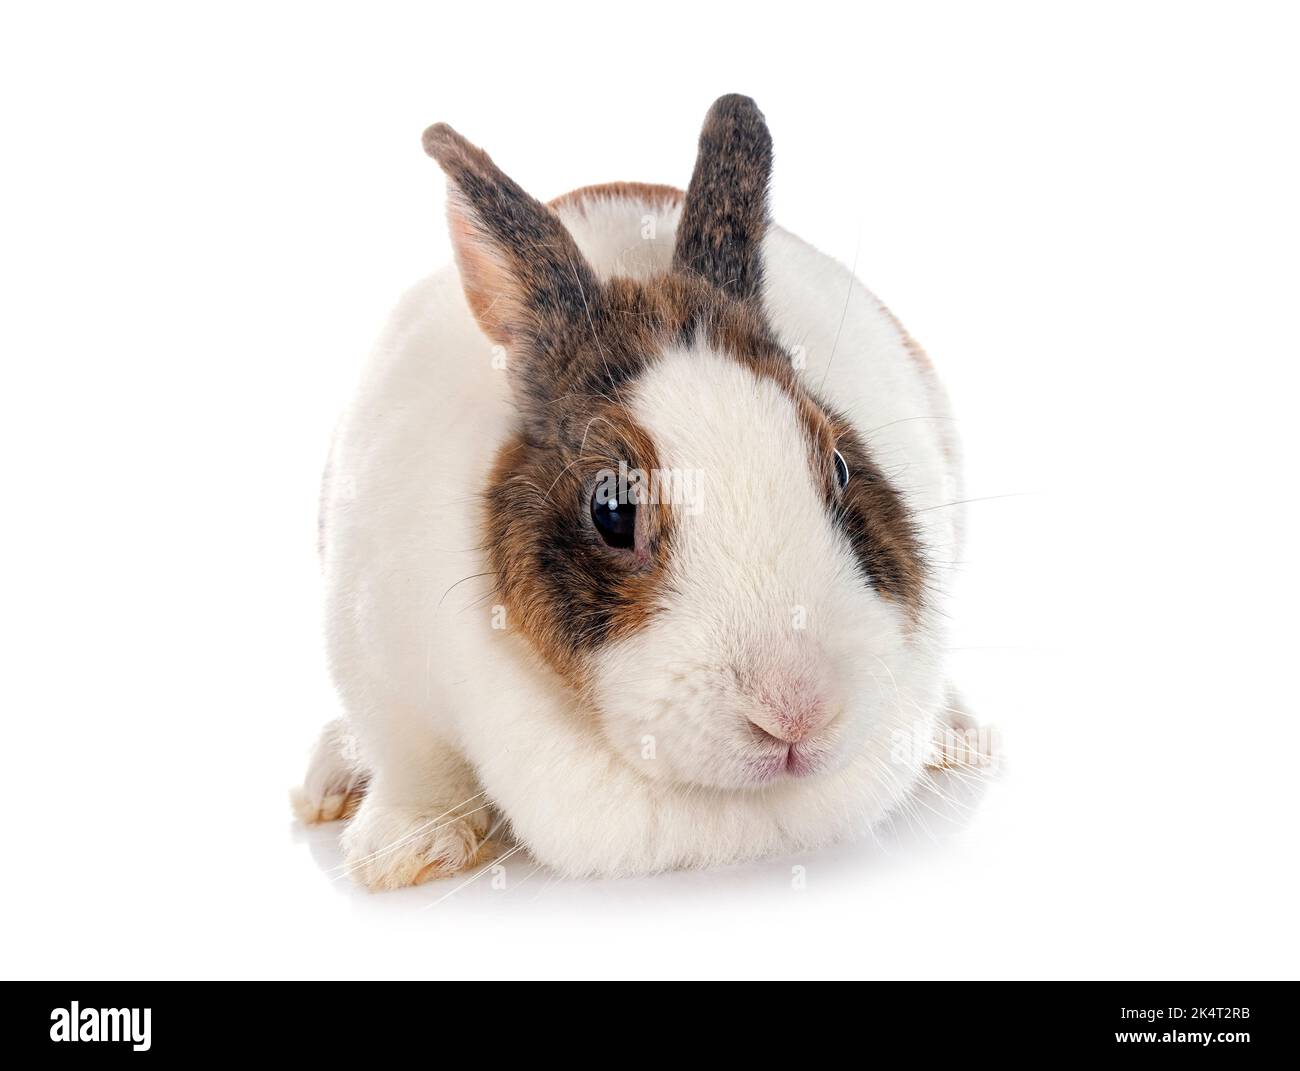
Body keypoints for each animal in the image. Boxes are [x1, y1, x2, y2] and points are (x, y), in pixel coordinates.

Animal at [291, 94, 987, 888]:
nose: (798, 712)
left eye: (840, 466)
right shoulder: (377, 657)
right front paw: (407, 849)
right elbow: (416, 765)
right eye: (613, 509)